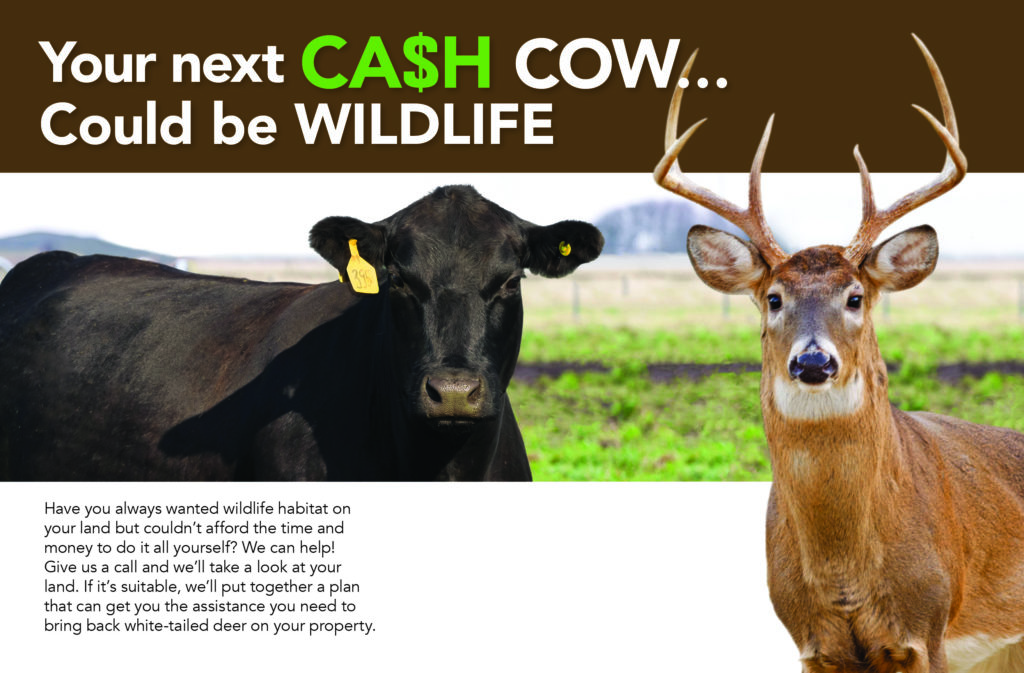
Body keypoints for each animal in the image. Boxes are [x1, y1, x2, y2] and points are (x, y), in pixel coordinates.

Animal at [654, 36, 1024, 673]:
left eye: (855, 296)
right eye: (773, 298)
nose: (812, 363)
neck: (843, 574)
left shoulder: (928, 630)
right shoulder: (810, 644)